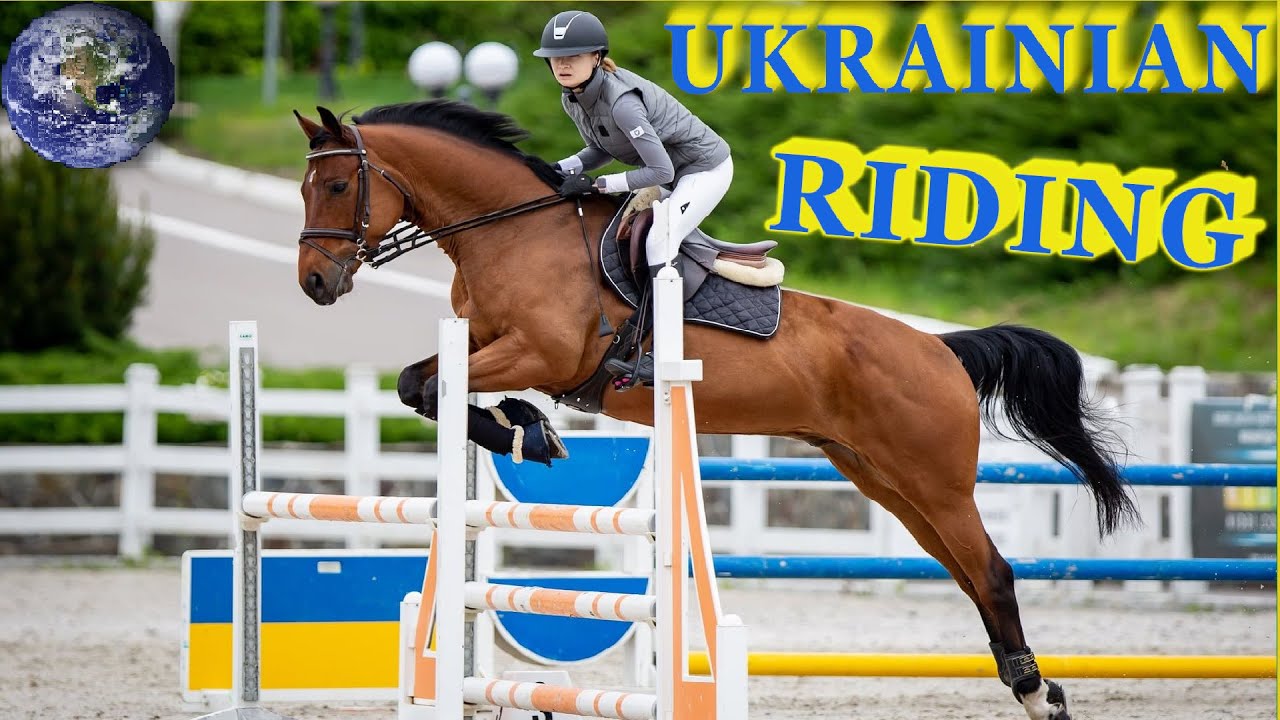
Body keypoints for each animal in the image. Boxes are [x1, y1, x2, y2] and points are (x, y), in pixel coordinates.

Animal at [291, 99, 1139, 720]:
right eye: (305, 187)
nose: (314, 284)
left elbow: (429, 387)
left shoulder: (543, 352)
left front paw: (528, 434)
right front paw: (524, 429)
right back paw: (1034, 685)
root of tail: (940, 350)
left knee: (991, 572)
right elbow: (422, 383)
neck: (512, 235)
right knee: (967, 575)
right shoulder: (481, 344)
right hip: (884, 481)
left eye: (336, 187)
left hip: (933, 482)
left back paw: (1037, 694)